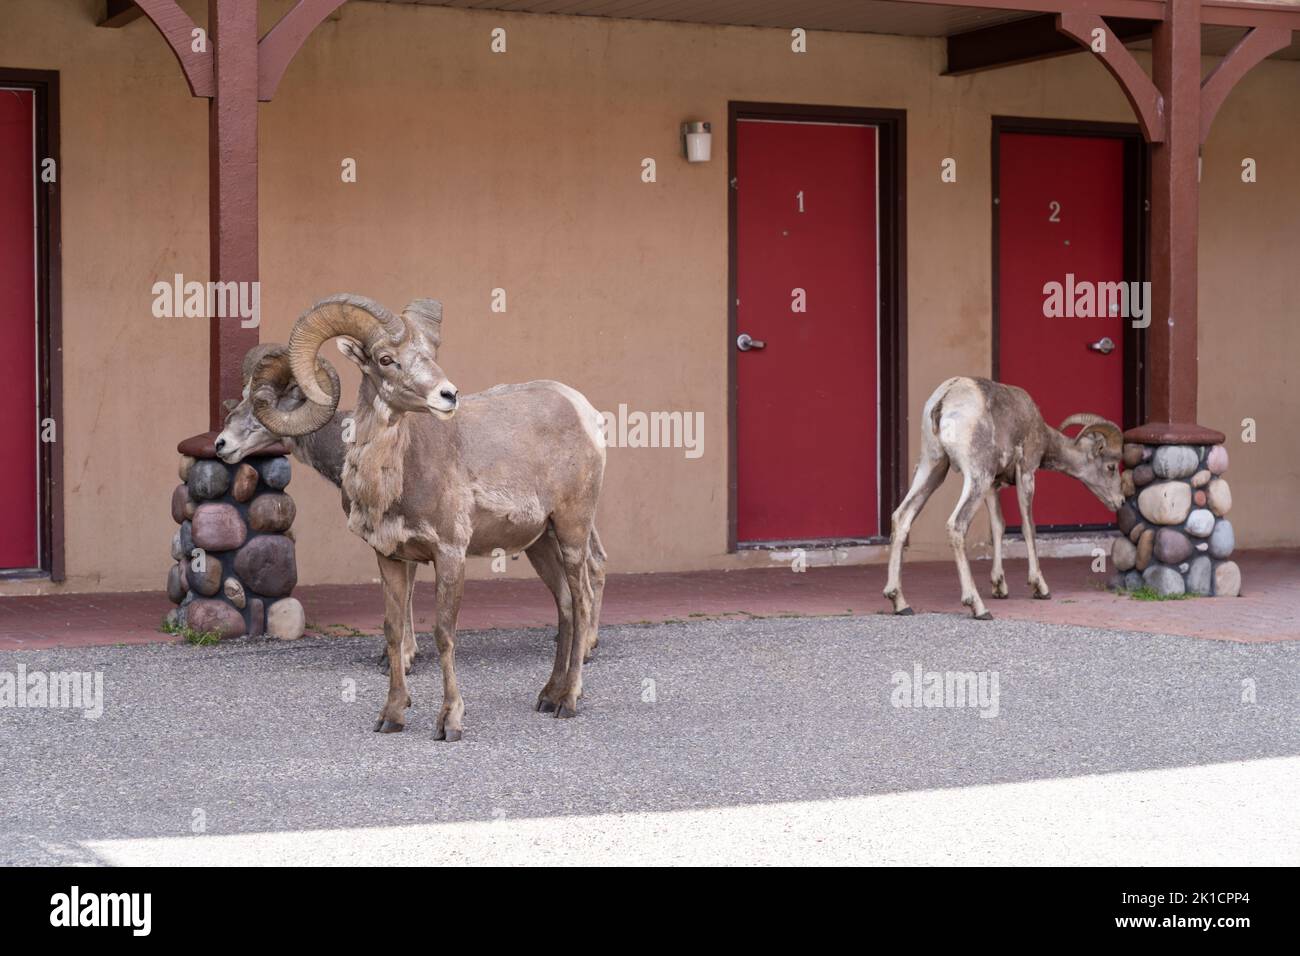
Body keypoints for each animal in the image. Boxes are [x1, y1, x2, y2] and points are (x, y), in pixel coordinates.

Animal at [214, 343, 607, 674]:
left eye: (264, 401)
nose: (221, 444)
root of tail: (586, 413)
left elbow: (406, 599)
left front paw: (402, 658)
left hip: (572, 520)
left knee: (588, 573)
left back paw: (585, 649)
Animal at [254, 295, 606, 740]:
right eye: (386, 359)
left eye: (429, 355)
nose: (448, 395)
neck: (393, 478)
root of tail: (584, 413)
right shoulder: (390, 557)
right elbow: (393, 631)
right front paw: (391, 716)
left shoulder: (450, 554)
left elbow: (443, 634)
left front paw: (450, 722)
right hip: (540, 543)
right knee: (563, 605)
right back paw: (546, 696)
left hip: (572, 530)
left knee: (582, 601)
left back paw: (568, 701)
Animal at [883, 376, 1124, 619]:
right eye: (1111, 467)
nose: (1120, 501)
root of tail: (944, 400)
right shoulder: (1026, 472)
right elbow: (1028, 527)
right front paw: (1040, 588)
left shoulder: (993, 485)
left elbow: (998, 526)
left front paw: (1000, 587)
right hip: (976, 476)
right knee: (956, 524)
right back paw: (978, 607)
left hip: (933, 466)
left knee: (901, 516)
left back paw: (900, 602)